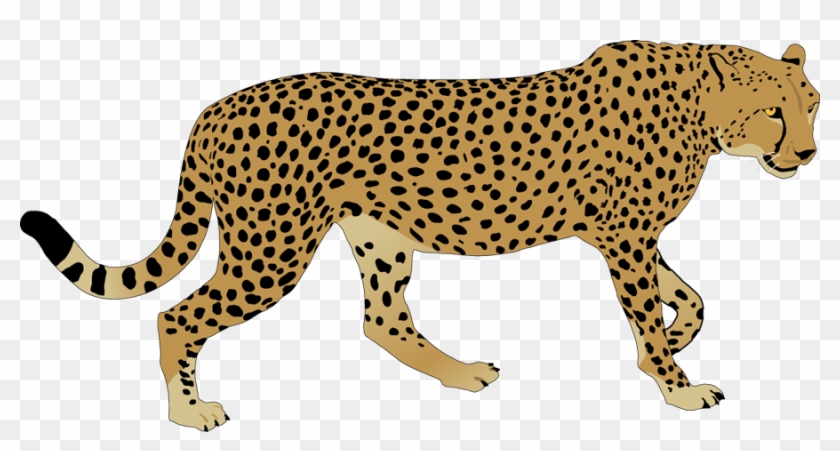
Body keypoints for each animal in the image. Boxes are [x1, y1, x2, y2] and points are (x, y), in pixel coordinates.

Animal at [20, 40, 819, 431]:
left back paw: (462, 373)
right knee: (177, 315)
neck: (699, 106)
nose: (809, 154)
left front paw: (676, 339)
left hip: (378, 235)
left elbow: (690, 297)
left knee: (383, 320)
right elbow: (650, 311)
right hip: (270, 249)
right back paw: (188, 410)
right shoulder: (624, 235)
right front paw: (676, 384)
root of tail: (215, 107)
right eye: (774, 112)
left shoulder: (626, 233)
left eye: (811, 103)